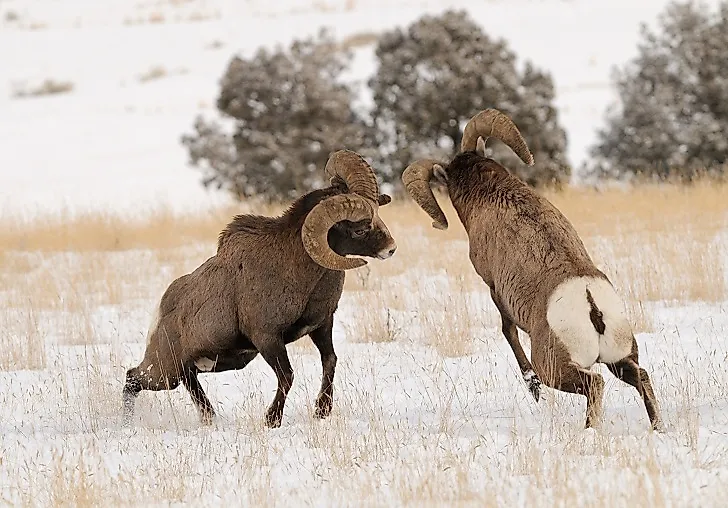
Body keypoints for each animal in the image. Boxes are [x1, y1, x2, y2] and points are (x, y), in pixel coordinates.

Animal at [122, 149, 398, 428]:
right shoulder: (267, 338)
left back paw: (208, 418)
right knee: (132, 377)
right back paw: (126, 423)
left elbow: (329, 362)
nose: (391, 249)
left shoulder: (321, 326)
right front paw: (272, 420)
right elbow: (287, 376)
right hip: (164, 374)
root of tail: (161, 310)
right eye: (360, 229)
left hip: (200, 368)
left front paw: (322, 411)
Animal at [401, 109, 664, 431]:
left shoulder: (493, 286)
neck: (492, 193)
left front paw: (533, 388)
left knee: (595, 384)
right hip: (621, 359)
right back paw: (657, 427)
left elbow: (509, 331)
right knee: (640, 377)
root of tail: (591, 305)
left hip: (557, 366)